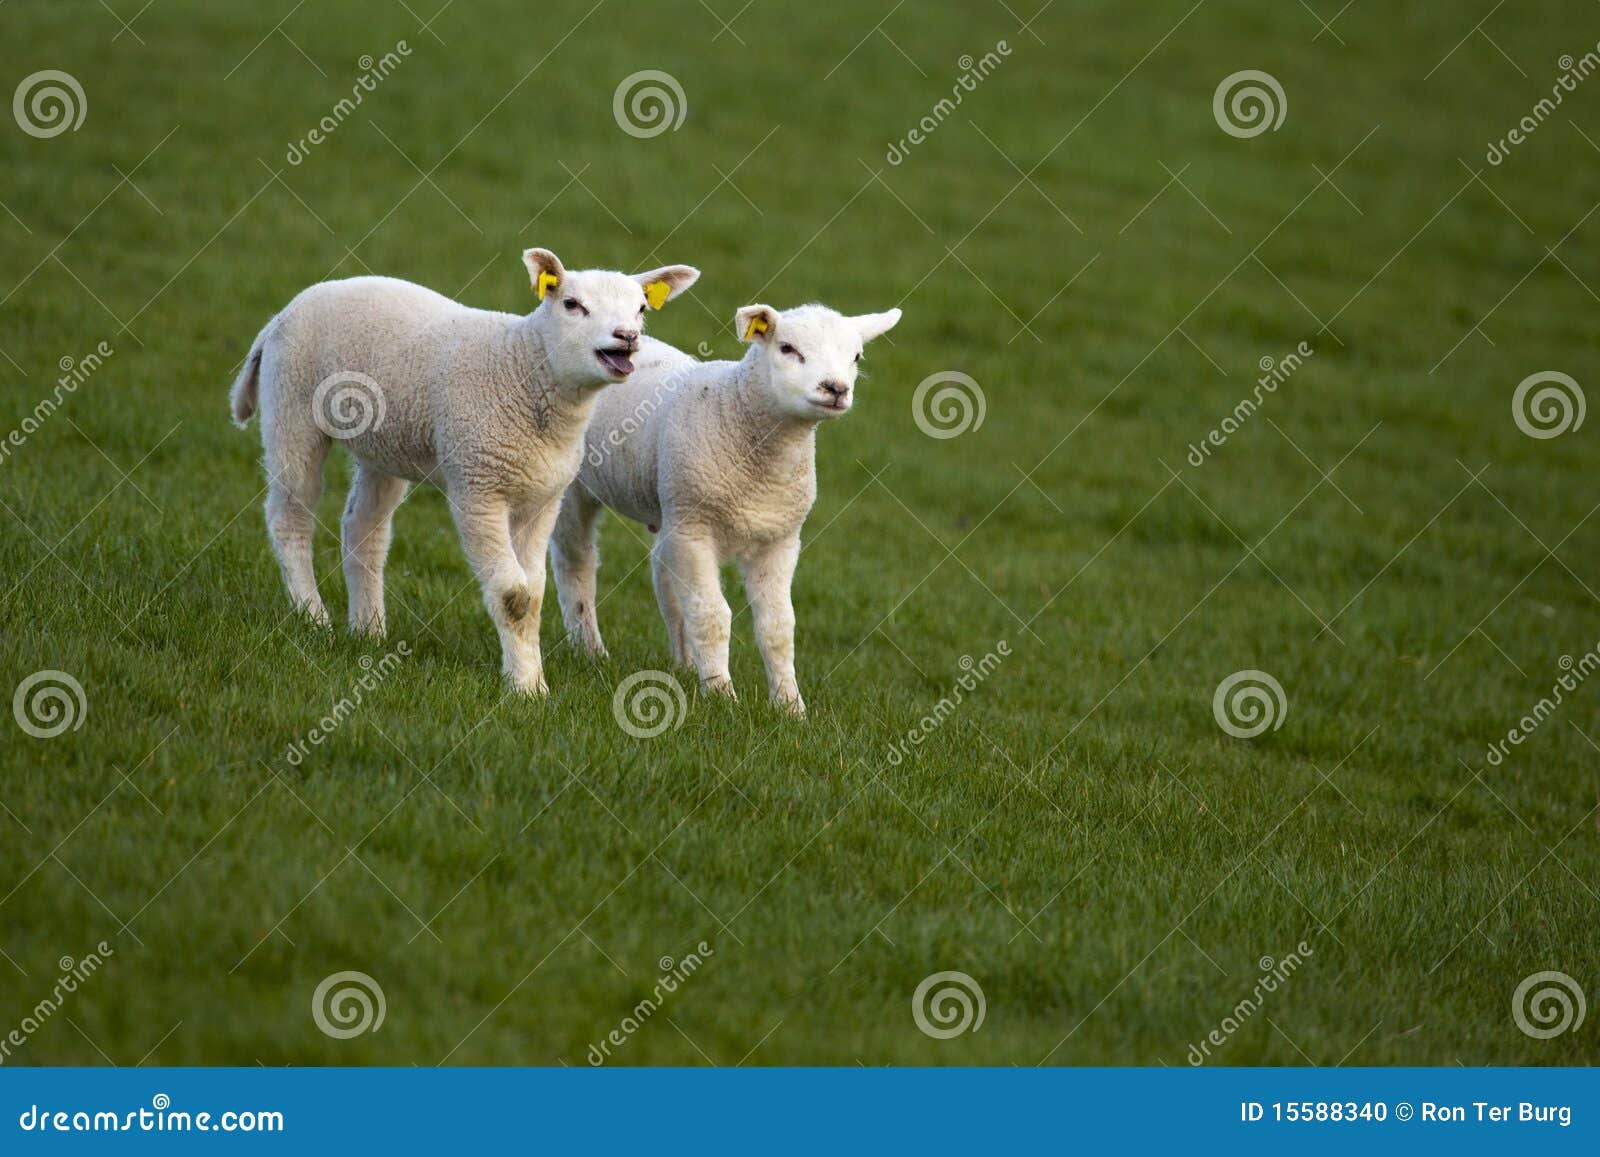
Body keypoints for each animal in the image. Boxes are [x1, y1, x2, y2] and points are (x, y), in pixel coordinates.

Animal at [228, 248, 700, 694]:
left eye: (641, 308)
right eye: (572, 304)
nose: (628, 337)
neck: (524, 371)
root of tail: (287, 311)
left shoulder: (541, 498)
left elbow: (533, 595)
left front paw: (532, 678)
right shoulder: (478, 487)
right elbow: (513, 596)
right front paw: (525, 690)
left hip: (385, 445)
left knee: (363, 528)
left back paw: (368, 630)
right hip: (291, 405)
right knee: (289, 517)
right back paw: (312, 616)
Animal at [551, 301, 901, 715]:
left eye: (856, 356)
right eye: (787, 348)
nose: (835, 389)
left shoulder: (780, 539)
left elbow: (778, 626)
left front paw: (790, 707)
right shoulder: (696, 531)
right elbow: (712, 615)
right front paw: (721, 697)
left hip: (673, 508)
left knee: (665, 580)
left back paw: (685, 664)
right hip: (577, 491)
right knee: (576, 564)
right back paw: (590, 650)